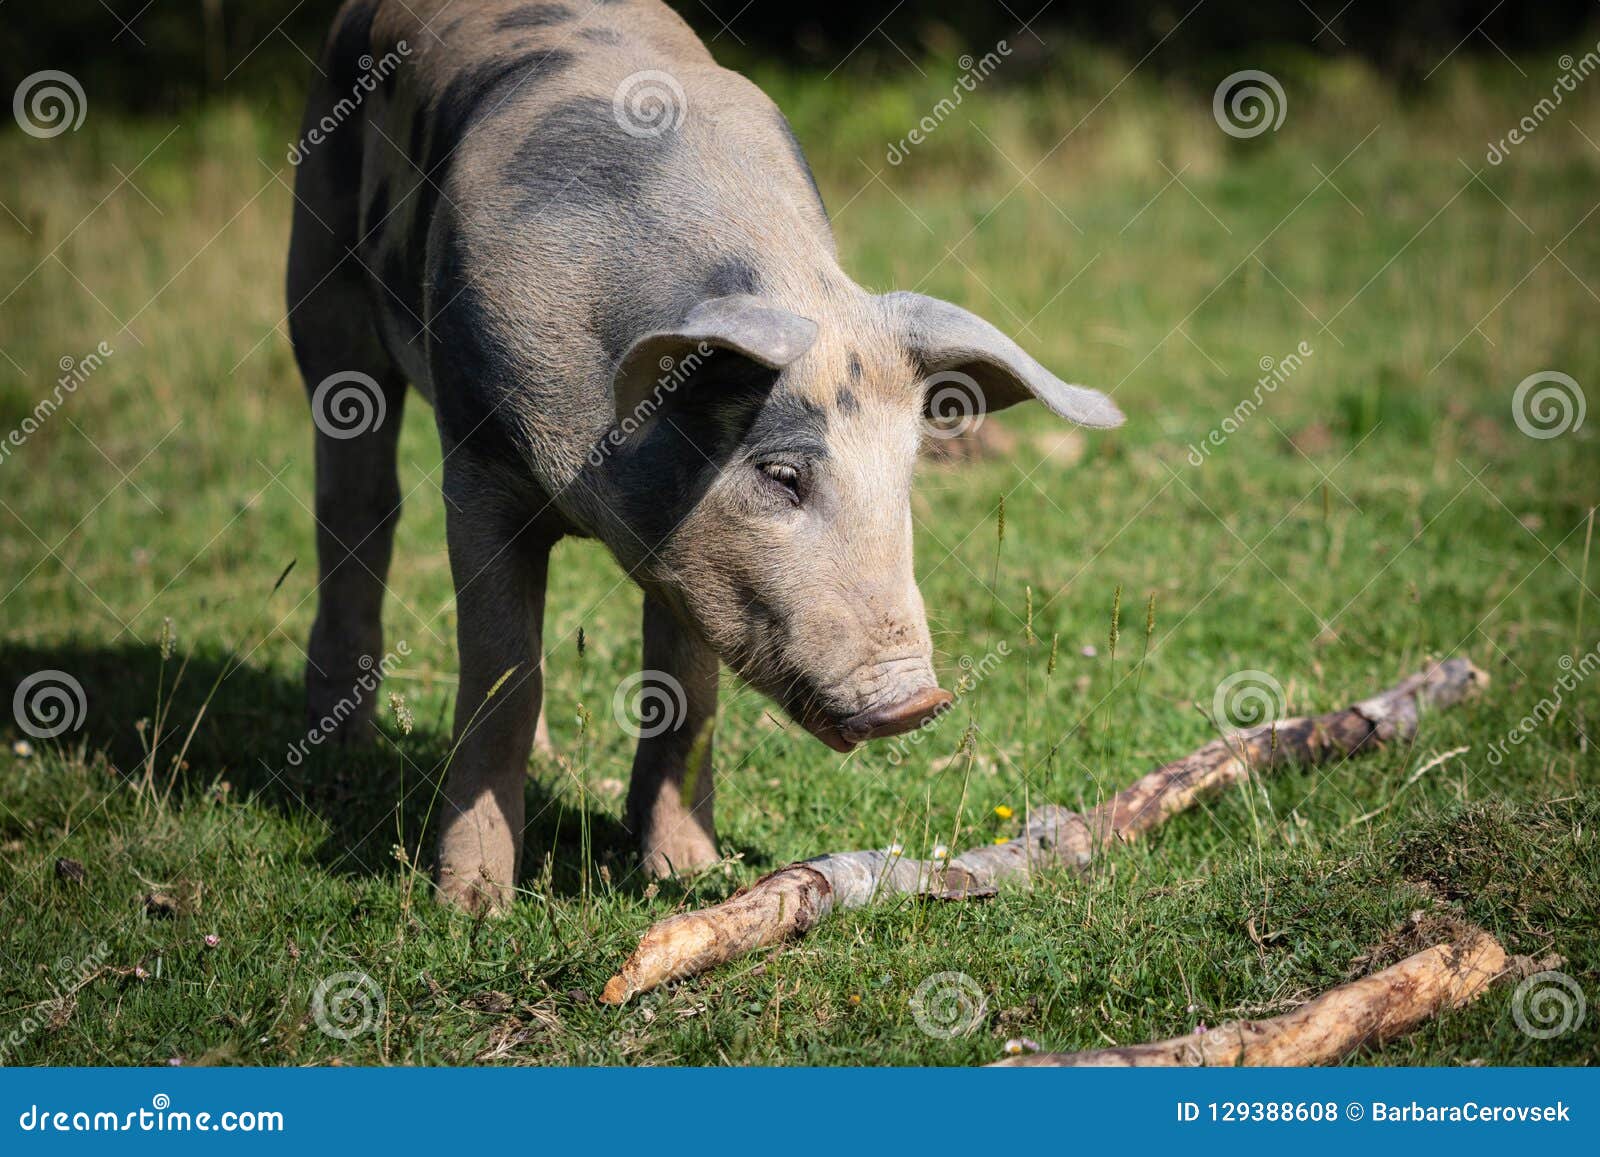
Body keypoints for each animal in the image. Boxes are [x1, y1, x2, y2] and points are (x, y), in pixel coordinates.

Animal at [287, 0, 1124, 912]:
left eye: (905, 475)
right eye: (782, 474)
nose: (917, 698)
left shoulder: (695, 561)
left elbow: (691, 692)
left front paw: (693, 876)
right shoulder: (477, 462)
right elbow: (502, 677)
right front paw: (472, 906)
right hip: (320, 284)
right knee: (356, 503)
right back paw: (343, 751)